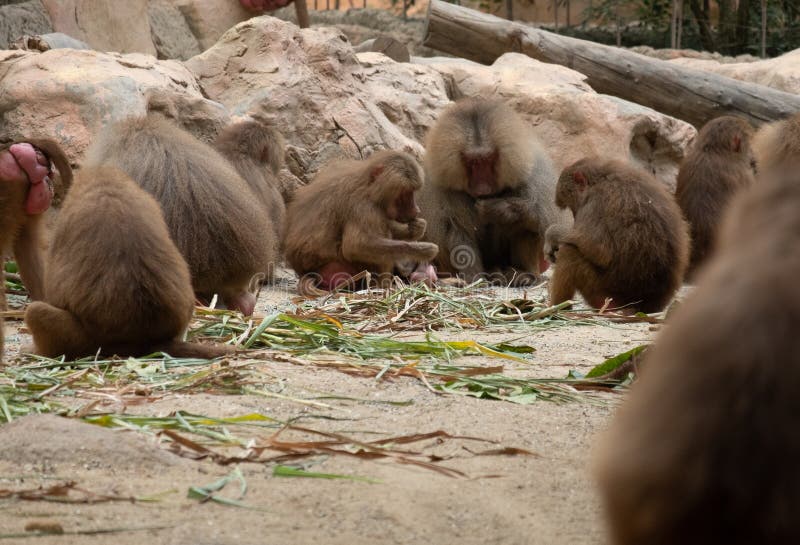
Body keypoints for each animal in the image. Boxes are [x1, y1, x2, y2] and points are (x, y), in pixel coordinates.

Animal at [283, 150, 439, 295]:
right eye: (405, 193)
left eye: (412, 191)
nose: (416, 211)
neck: (368, 185)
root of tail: (308, 273)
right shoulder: (362, 206)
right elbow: (356, 246)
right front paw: (424, 250)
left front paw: (416, 229)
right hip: (343, 268)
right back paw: (383, 287)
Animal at [418, 97, 569, 285]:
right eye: (473, 162)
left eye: (488, 159)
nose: (482, 187)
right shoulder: (443, 187)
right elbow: (456, 231)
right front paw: (474, 277)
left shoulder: (532, 171)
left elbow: (542, 217)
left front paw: (496, 209)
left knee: (526, 225)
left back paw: (521, 274)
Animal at [549, 158, 690, 313]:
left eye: (572, 205)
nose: (575, 217)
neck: (599, 179)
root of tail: (645, 306)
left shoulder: (596, 201)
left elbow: (598, 249)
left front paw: (552, 234)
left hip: (605, 295)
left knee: (569, 252)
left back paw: (555, 309)